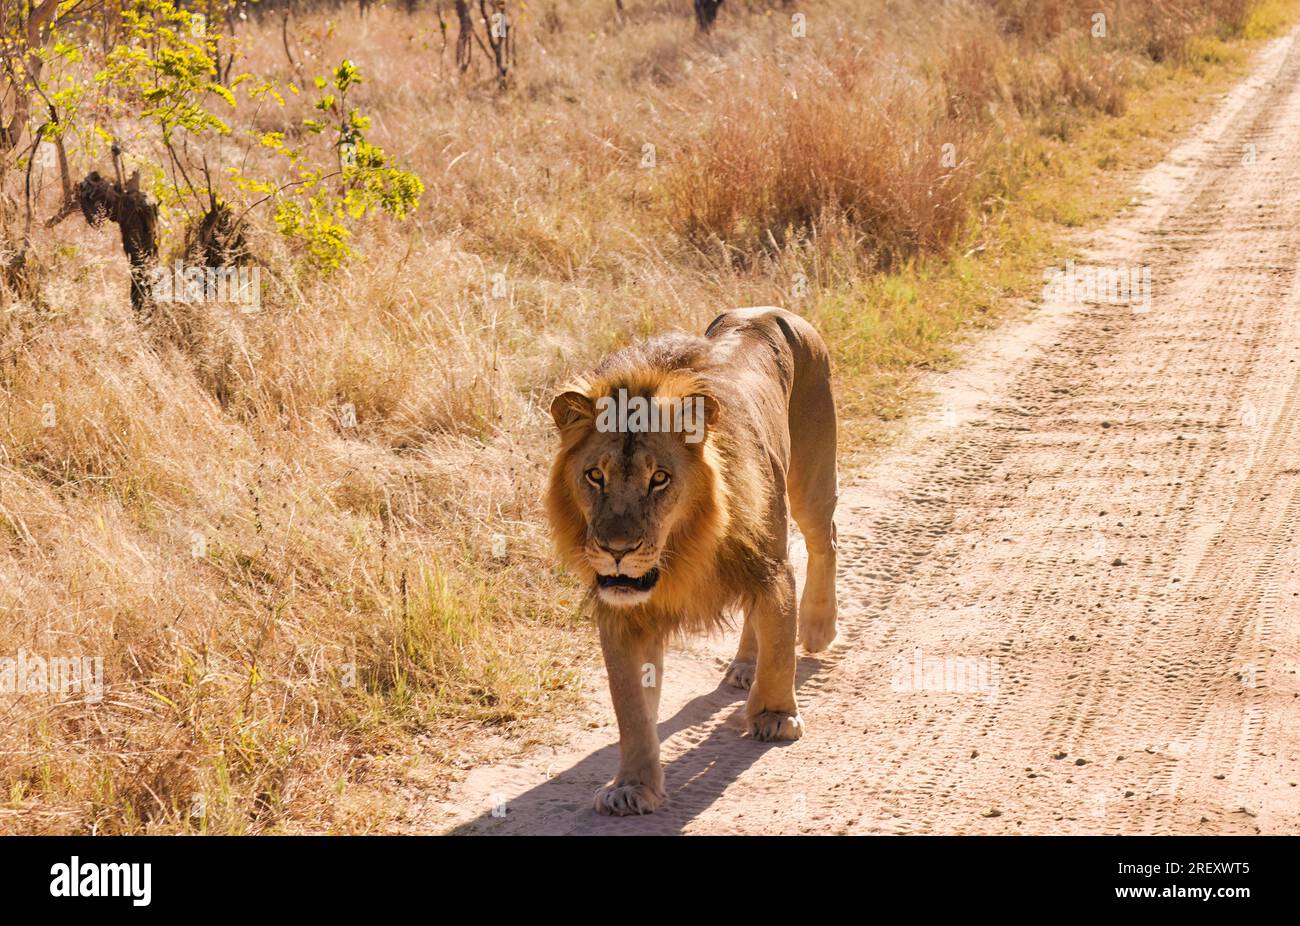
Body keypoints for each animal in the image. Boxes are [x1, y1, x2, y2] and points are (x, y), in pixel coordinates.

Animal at [545, 306, 839, 816]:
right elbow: (631, 709)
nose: (617, 548)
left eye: (659, 478)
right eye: (595, 476)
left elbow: (781, 644)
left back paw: (819, 627)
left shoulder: (770, 563)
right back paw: (744, 666)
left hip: (810, 482)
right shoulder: (625, 614)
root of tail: (771, 310)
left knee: (827, 542)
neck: (686, 549)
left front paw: (775, 715)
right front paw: (632, 785)